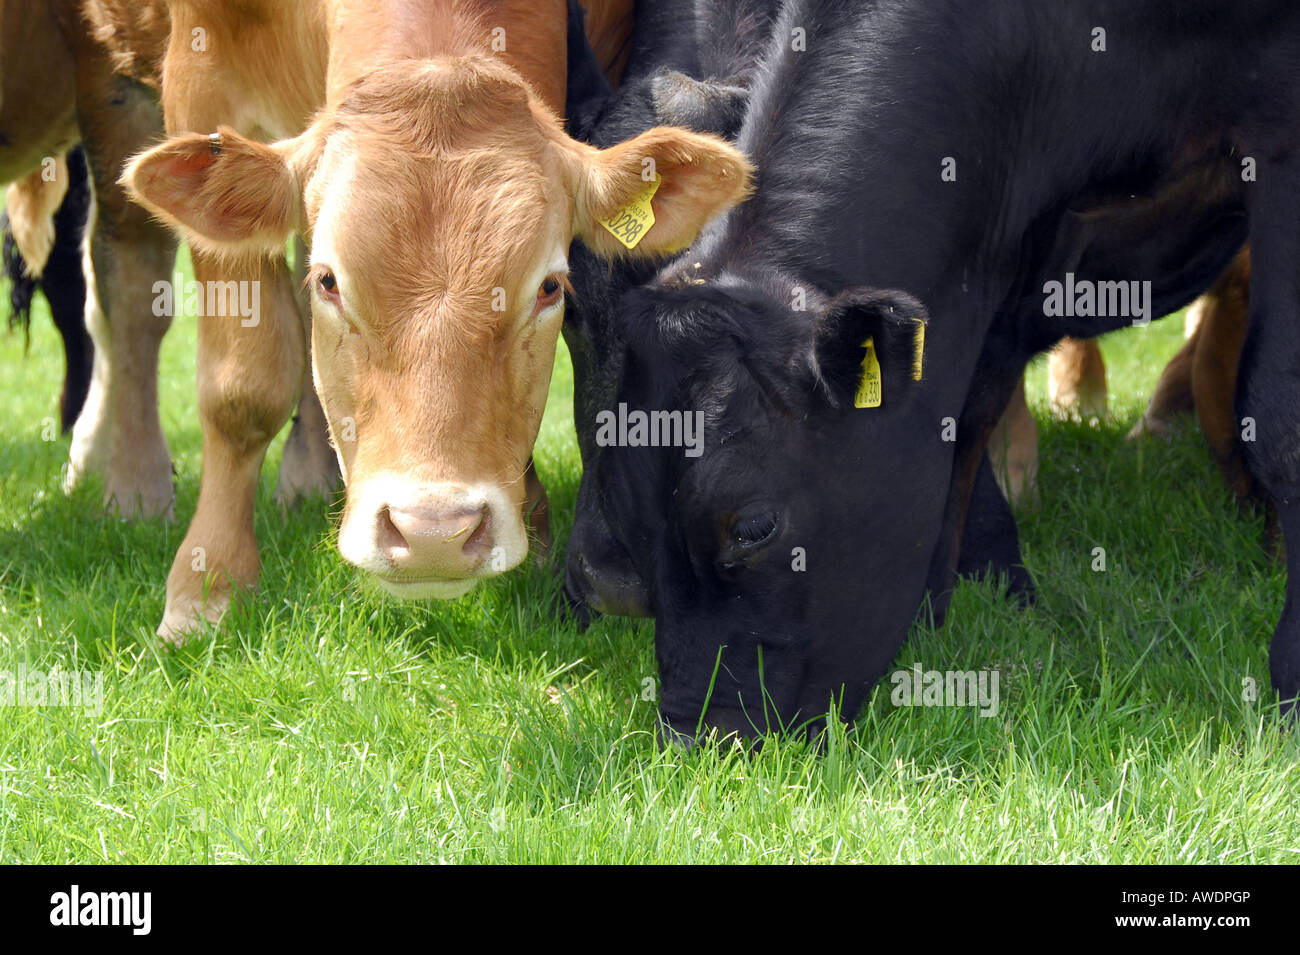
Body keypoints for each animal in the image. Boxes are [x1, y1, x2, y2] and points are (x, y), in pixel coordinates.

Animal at [118, 0, 751, 640]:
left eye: (550, 287)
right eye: (329, 281)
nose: (433, 535)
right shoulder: (200, 80)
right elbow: (242, 392)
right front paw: (207, 588)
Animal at [567, 0, 1300, 743]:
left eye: (754, 528)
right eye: (633, 528)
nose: (695, 734)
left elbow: (1276, 412)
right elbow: (967, 411)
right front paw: (934, 614)